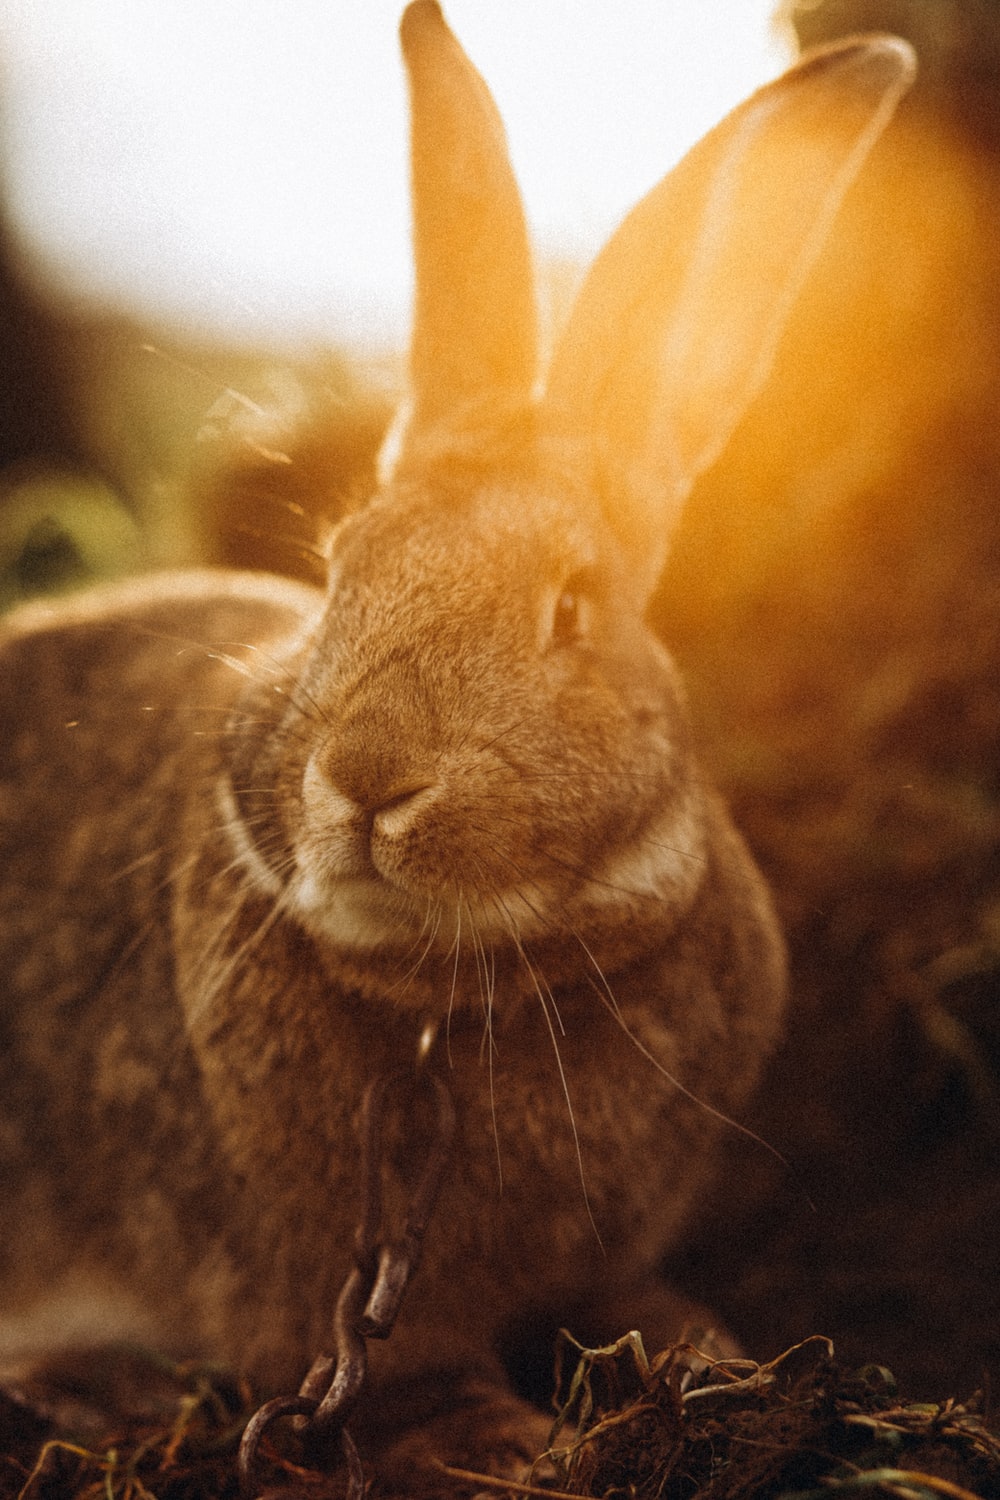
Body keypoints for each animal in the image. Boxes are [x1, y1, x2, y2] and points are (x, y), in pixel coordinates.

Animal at [0, 0, 914, 1486]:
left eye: (571, 610)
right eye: (341, 569)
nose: (369, 777)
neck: (462, 984)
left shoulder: (607, 1249)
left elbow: (652, 1309)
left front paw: (726, 1374)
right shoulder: (334, 1305)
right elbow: (425, 1394)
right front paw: (530, 1451)